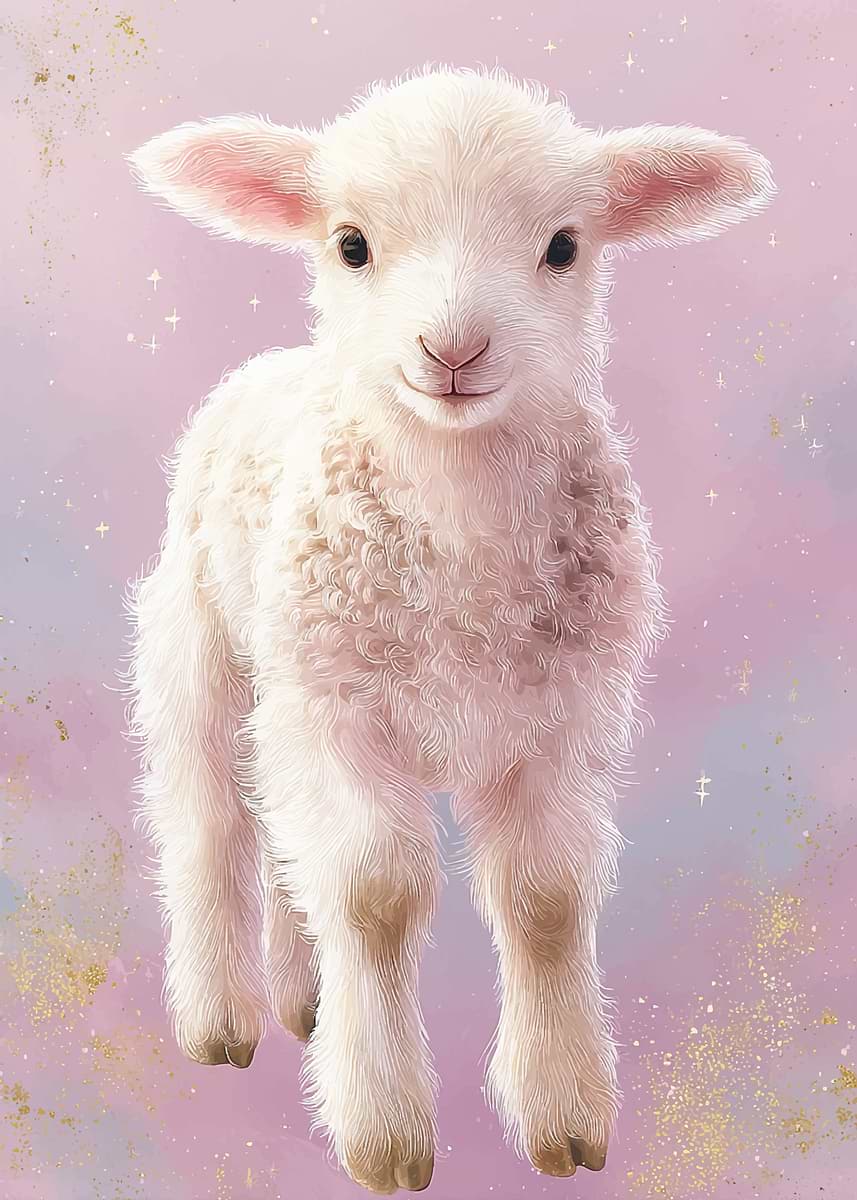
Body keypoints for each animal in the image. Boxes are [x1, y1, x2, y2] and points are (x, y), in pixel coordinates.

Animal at [125, 65, 774, 1195]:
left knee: (281, 838)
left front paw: (562, 1118)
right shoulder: (338, 707)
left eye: (562, 246)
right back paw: (220, 1019)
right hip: (202, 641)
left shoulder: (563, 714)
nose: (454, 349)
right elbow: (374, 895)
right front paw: (382, 1131)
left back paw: (305, 1002)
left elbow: (546, 897)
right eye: (350, 245)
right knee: (210, 818)